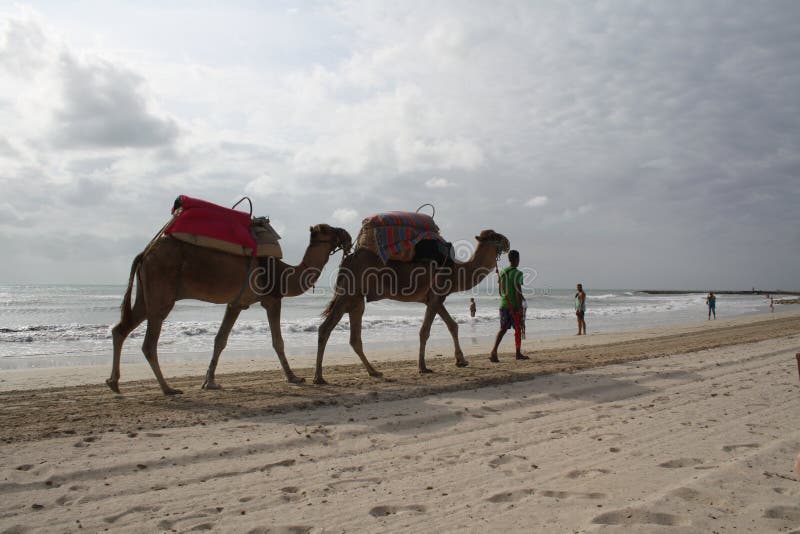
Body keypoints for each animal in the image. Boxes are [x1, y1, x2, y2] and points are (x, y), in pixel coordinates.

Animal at [108, 224, 352, 395]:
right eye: (329, 229)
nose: (347, 235)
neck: (284, 273)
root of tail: (145, 253)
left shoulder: (236, 303)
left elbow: (220, 340)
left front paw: (209, 381)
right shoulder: (272, 299)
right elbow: (278, 341)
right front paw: (294, 377)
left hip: (146, 295)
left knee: (120, 329)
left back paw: (114, 383)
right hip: (161, 291)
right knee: (149, 343)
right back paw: (168, 389)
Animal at [314, 229, 510, 384]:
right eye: (495, 236)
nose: (508, 243)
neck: (456, 272)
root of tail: (347, 259)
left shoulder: (433, 299)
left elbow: (452, 325)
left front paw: (461, 360)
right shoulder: (437, 296)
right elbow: (425, 331)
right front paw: (423, 367)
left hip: (355, 299)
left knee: (353, 337)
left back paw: (374, 371)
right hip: (348, 292)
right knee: (325, 328)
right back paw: (319, 378)